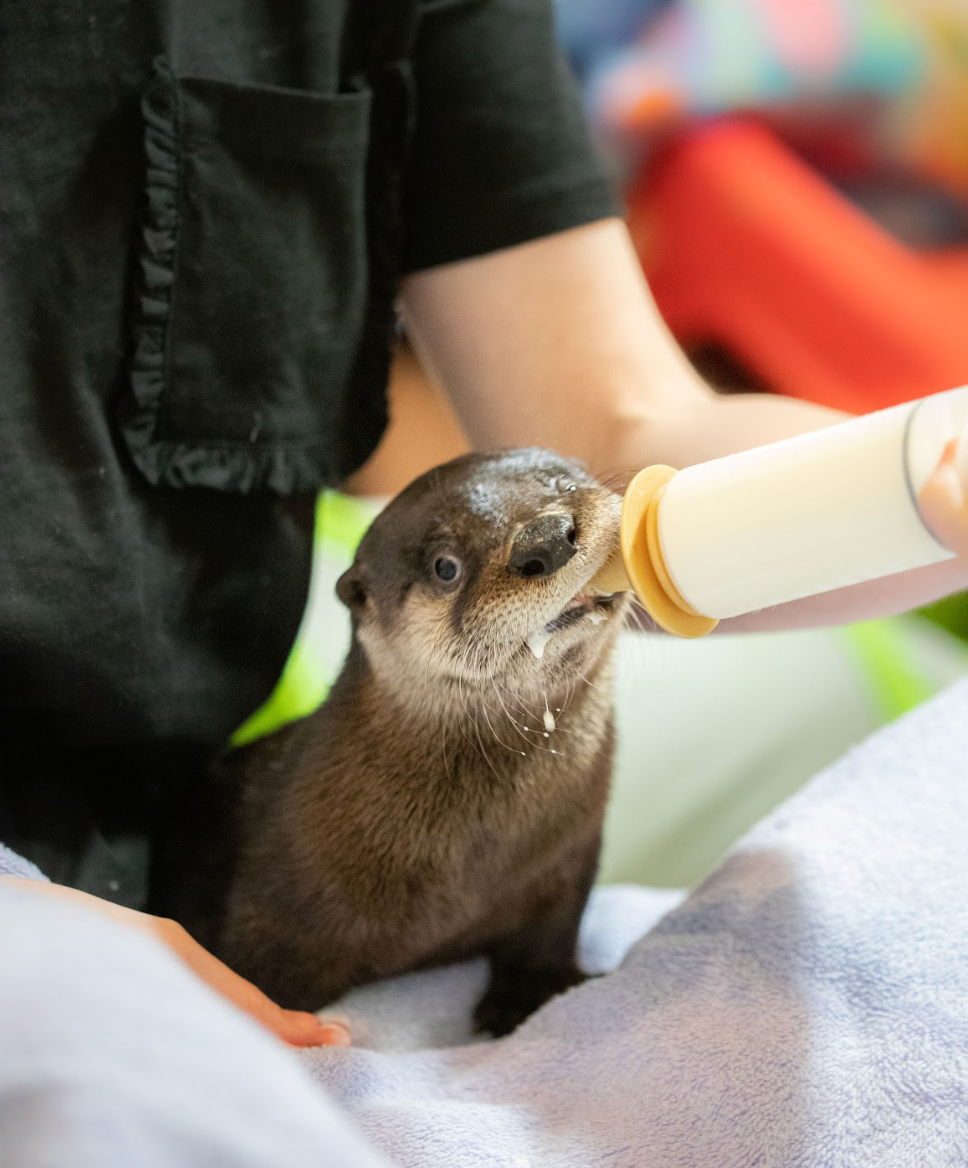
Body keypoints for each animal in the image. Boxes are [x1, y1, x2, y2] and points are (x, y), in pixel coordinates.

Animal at [159, 449, 630, 1037]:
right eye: (445, 567)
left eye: (559, 481)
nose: (544, 541)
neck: (472, 859)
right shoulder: (269, 915)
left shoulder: (569, 859)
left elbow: (551, 933)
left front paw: (528, 994)